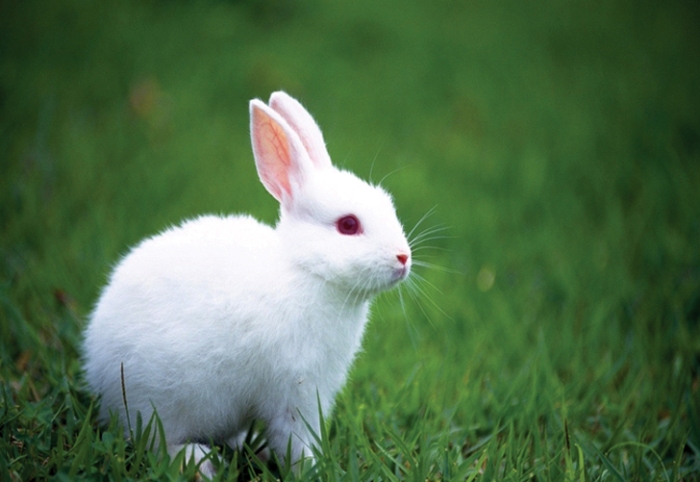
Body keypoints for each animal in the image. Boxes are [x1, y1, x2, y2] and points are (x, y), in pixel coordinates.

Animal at [82, 91, 412, 477]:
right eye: (348, 225)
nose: (403, 258)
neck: (306, 271)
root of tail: (97, 369)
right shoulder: (295, 392)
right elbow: (295, 441)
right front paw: (312, 470)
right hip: (158, 402)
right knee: (155, 442)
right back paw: (200, 463)